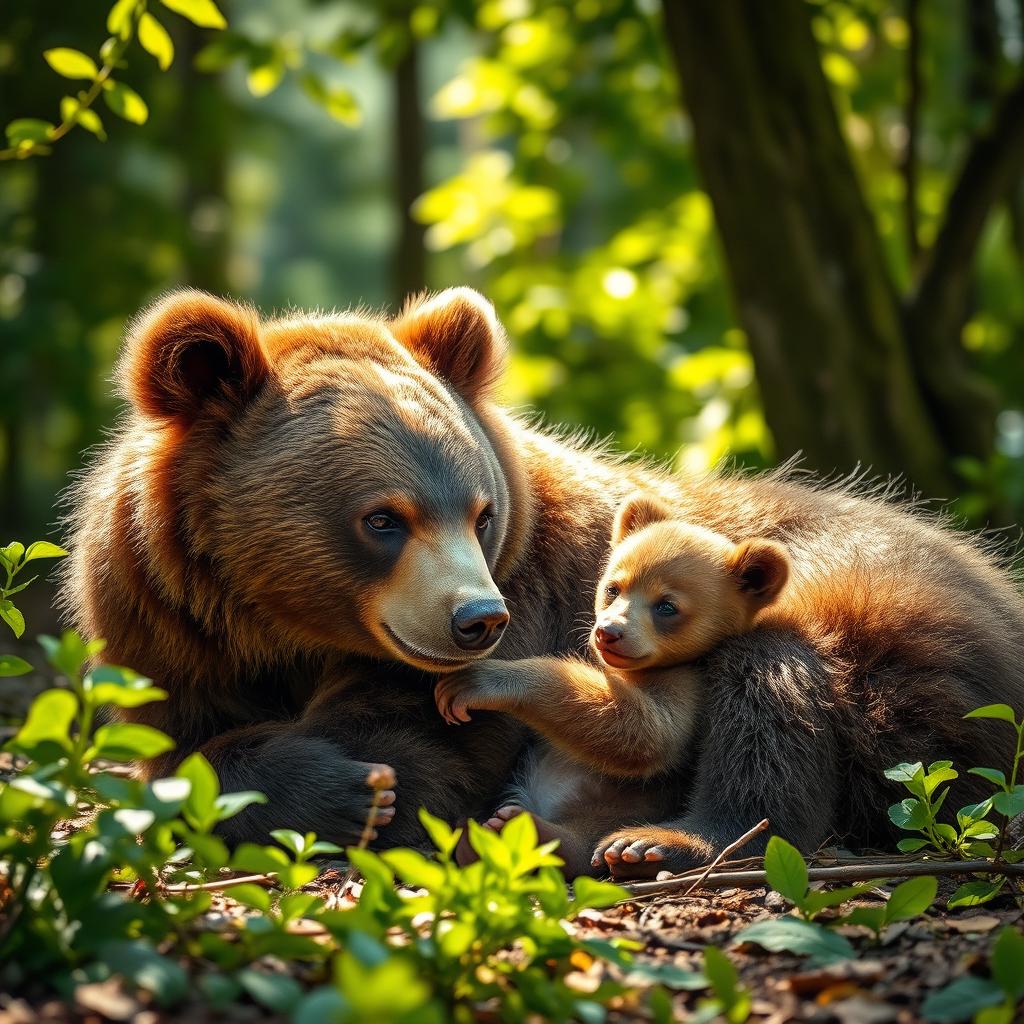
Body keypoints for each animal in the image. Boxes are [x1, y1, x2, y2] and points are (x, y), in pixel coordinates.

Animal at [434, 490, 791, 877]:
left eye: (667, 606)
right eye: (613, 587)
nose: (609, 632)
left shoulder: (690, 684)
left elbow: (643, 731)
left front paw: (481, 681)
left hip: (627, 801)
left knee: (590, 831)